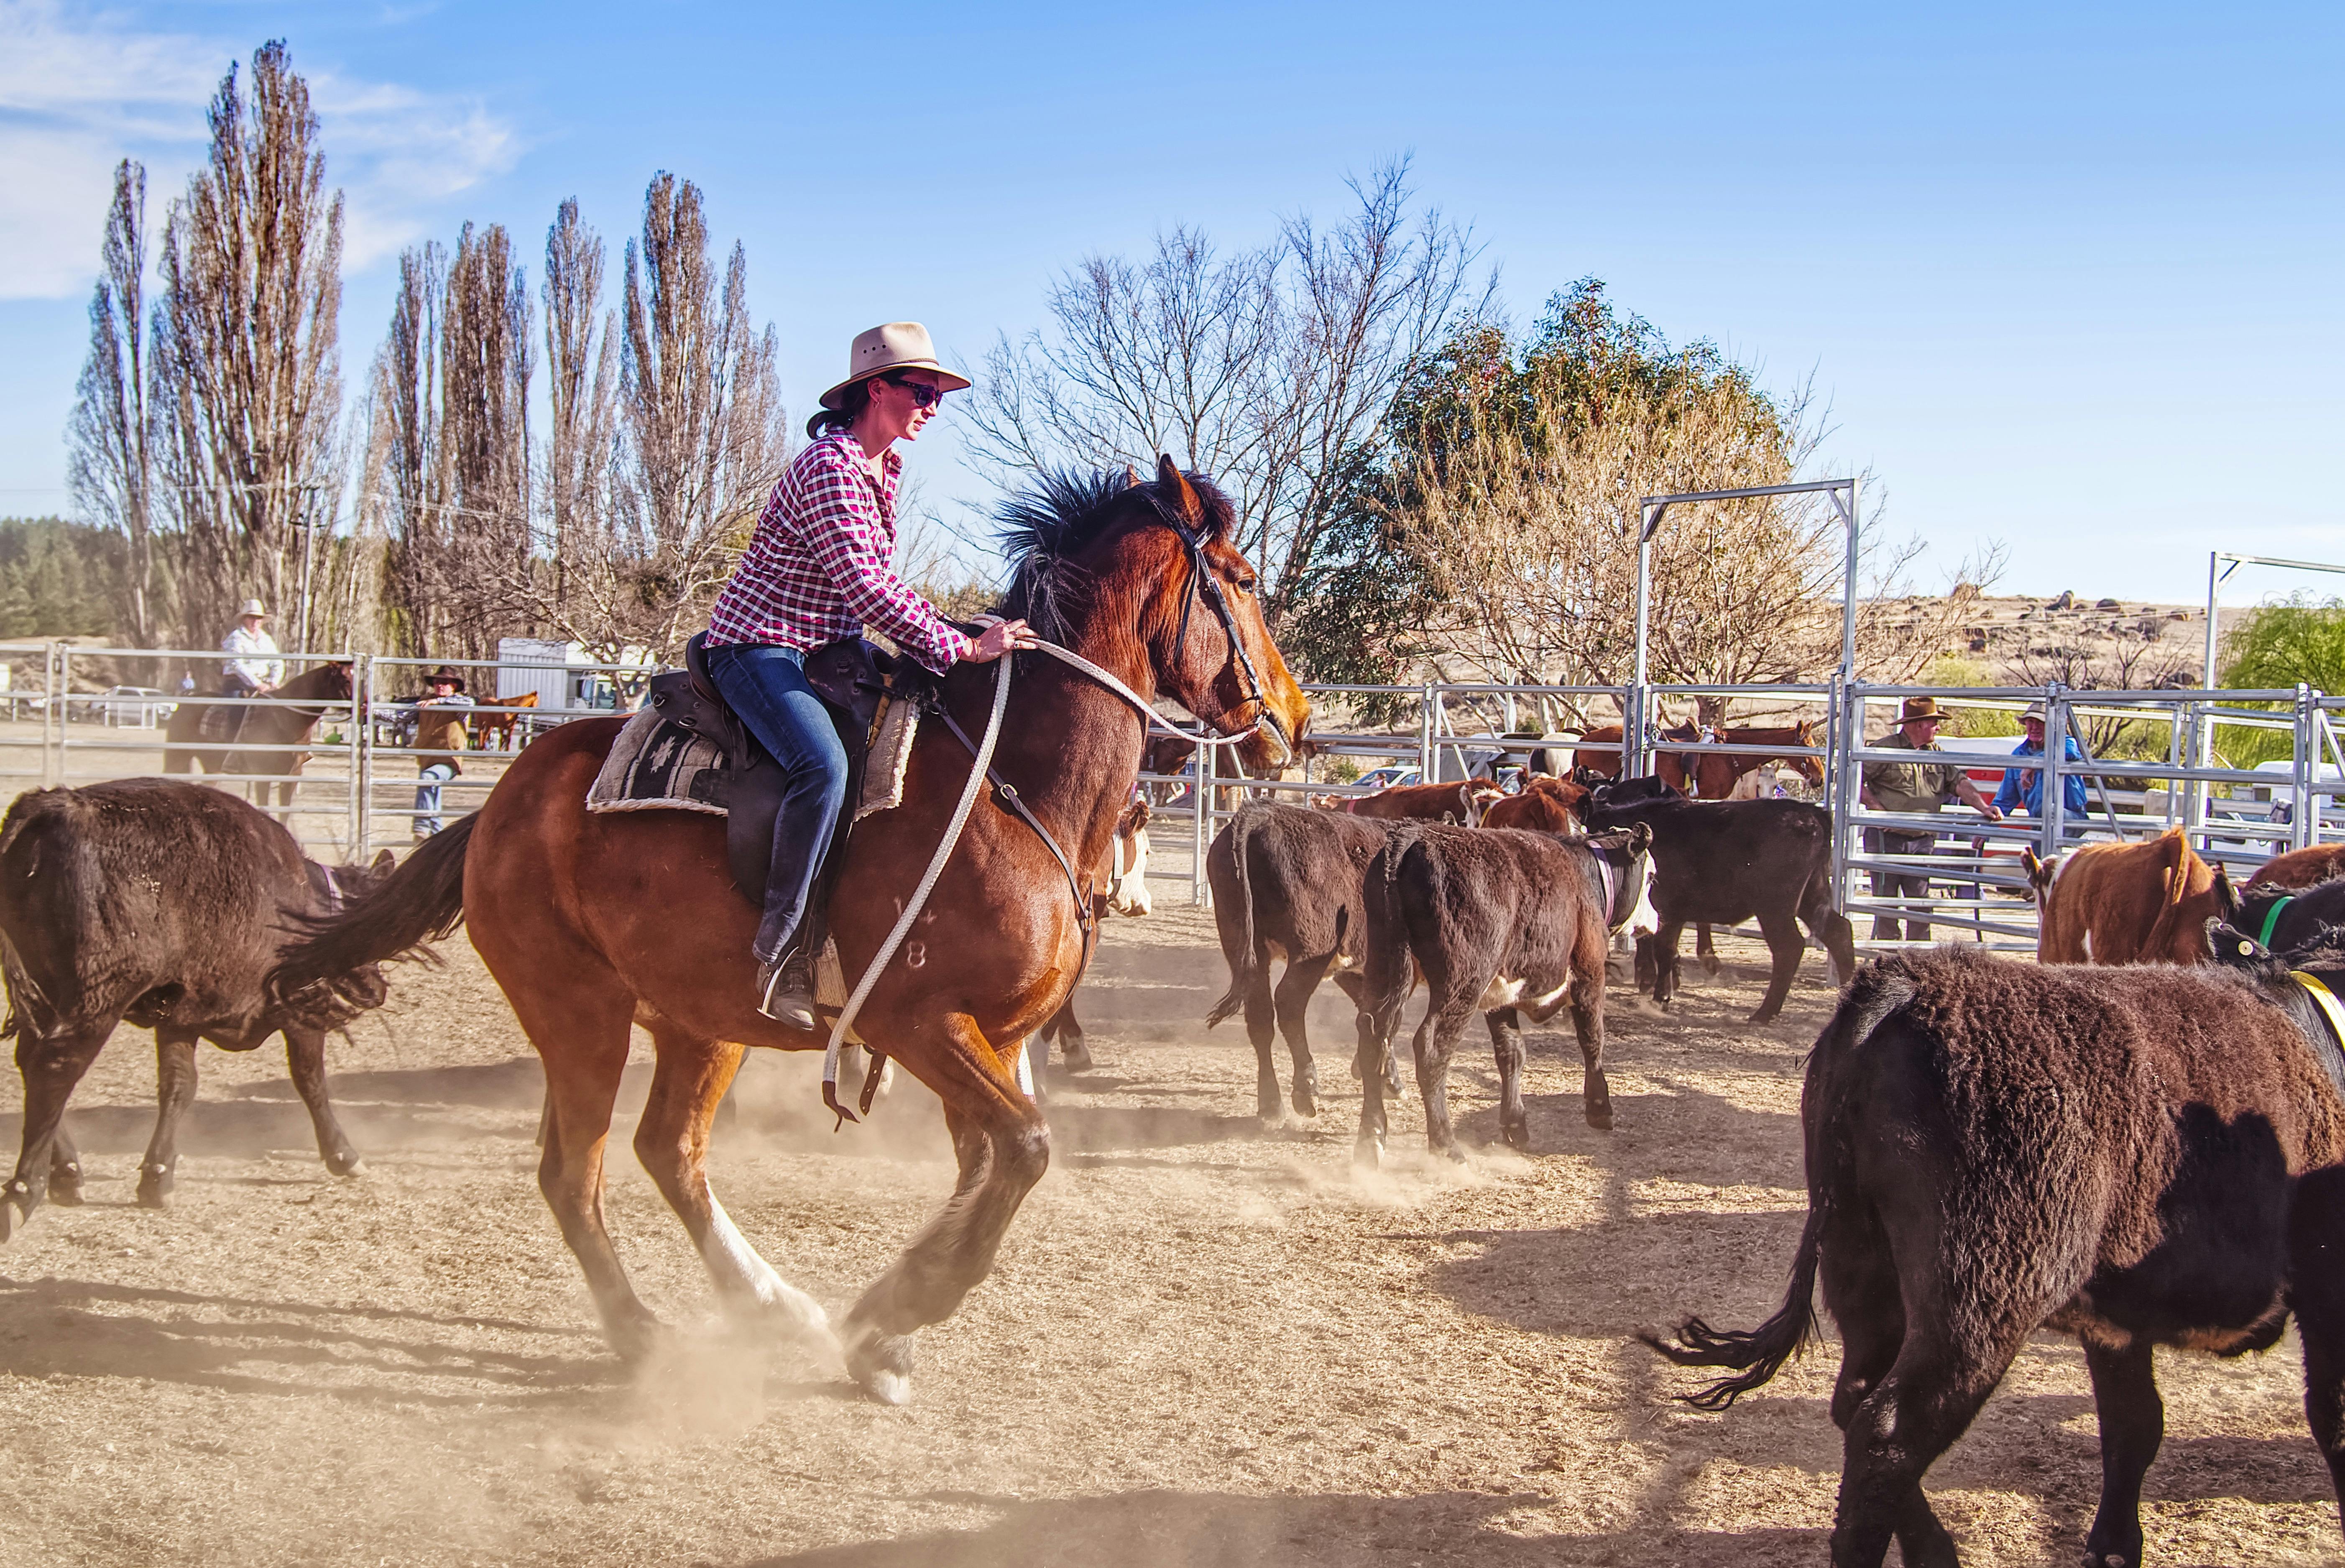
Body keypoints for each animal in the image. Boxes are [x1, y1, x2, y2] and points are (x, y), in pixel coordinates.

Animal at [0, 779, 393, 1233]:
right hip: (98, 997)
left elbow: (178, 1087)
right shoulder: (299, 1011)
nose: (377, 989)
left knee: (32, 1062)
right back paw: (24, 1190)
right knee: (55, 1068)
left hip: (45, 995)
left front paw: (157, 1176)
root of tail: (55, 804)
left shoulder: (181, 1016)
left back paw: (67, 1174)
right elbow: (311, 1082)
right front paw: (343, 1155)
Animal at [1206, 802, 1409, 1120]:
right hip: (1311, 950)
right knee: (1288, 1003)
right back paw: (1306, 1088)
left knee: (1260, 1013)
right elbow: (1389, 1020)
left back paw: (1271, 1105)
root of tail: (1262, 814)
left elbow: (1371, 1014)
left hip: (1242, 942)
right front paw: (1391, 1080)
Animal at [1357, 822, 1657, 1164]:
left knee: (1372, 1035)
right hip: (1463, 982)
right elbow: (1593, 1039)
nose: (1655, 920)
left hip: (1386, 967)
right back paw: (1448, 1148)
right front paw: (1600, 1109)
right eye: (1651, 876)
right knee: (1431, 1048)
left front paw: (1515, 1125)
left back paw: (1370, 1140)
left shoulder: (1500, 999)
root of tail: (1415, 836)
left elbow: (1511, 1053)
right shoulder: (1590, 975)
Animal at [1581, 788, 1855, 1024]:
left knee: (1789, 947)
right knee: (1839, 931)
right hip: (1812, 898)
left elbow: (1663, 950)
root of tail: (1810, 814)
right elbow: (1664, 949)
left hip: (1774, 908)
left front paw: (1661, 997)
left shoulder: (1667, 912)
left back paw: (1764, 1013)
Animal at [1645, 939, 2345, 1568]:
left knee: (1855, 1400)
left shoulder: (2117, 1322)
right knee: (1888, 1431)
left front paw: (2114, 1547)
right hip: (1977, 1305)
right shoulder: (2325, 1293)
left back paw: (1935, 1551)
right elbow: (2331, 1418)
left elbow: (2134, 1425)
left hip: (1863, 1269)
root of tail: (1903, 985)